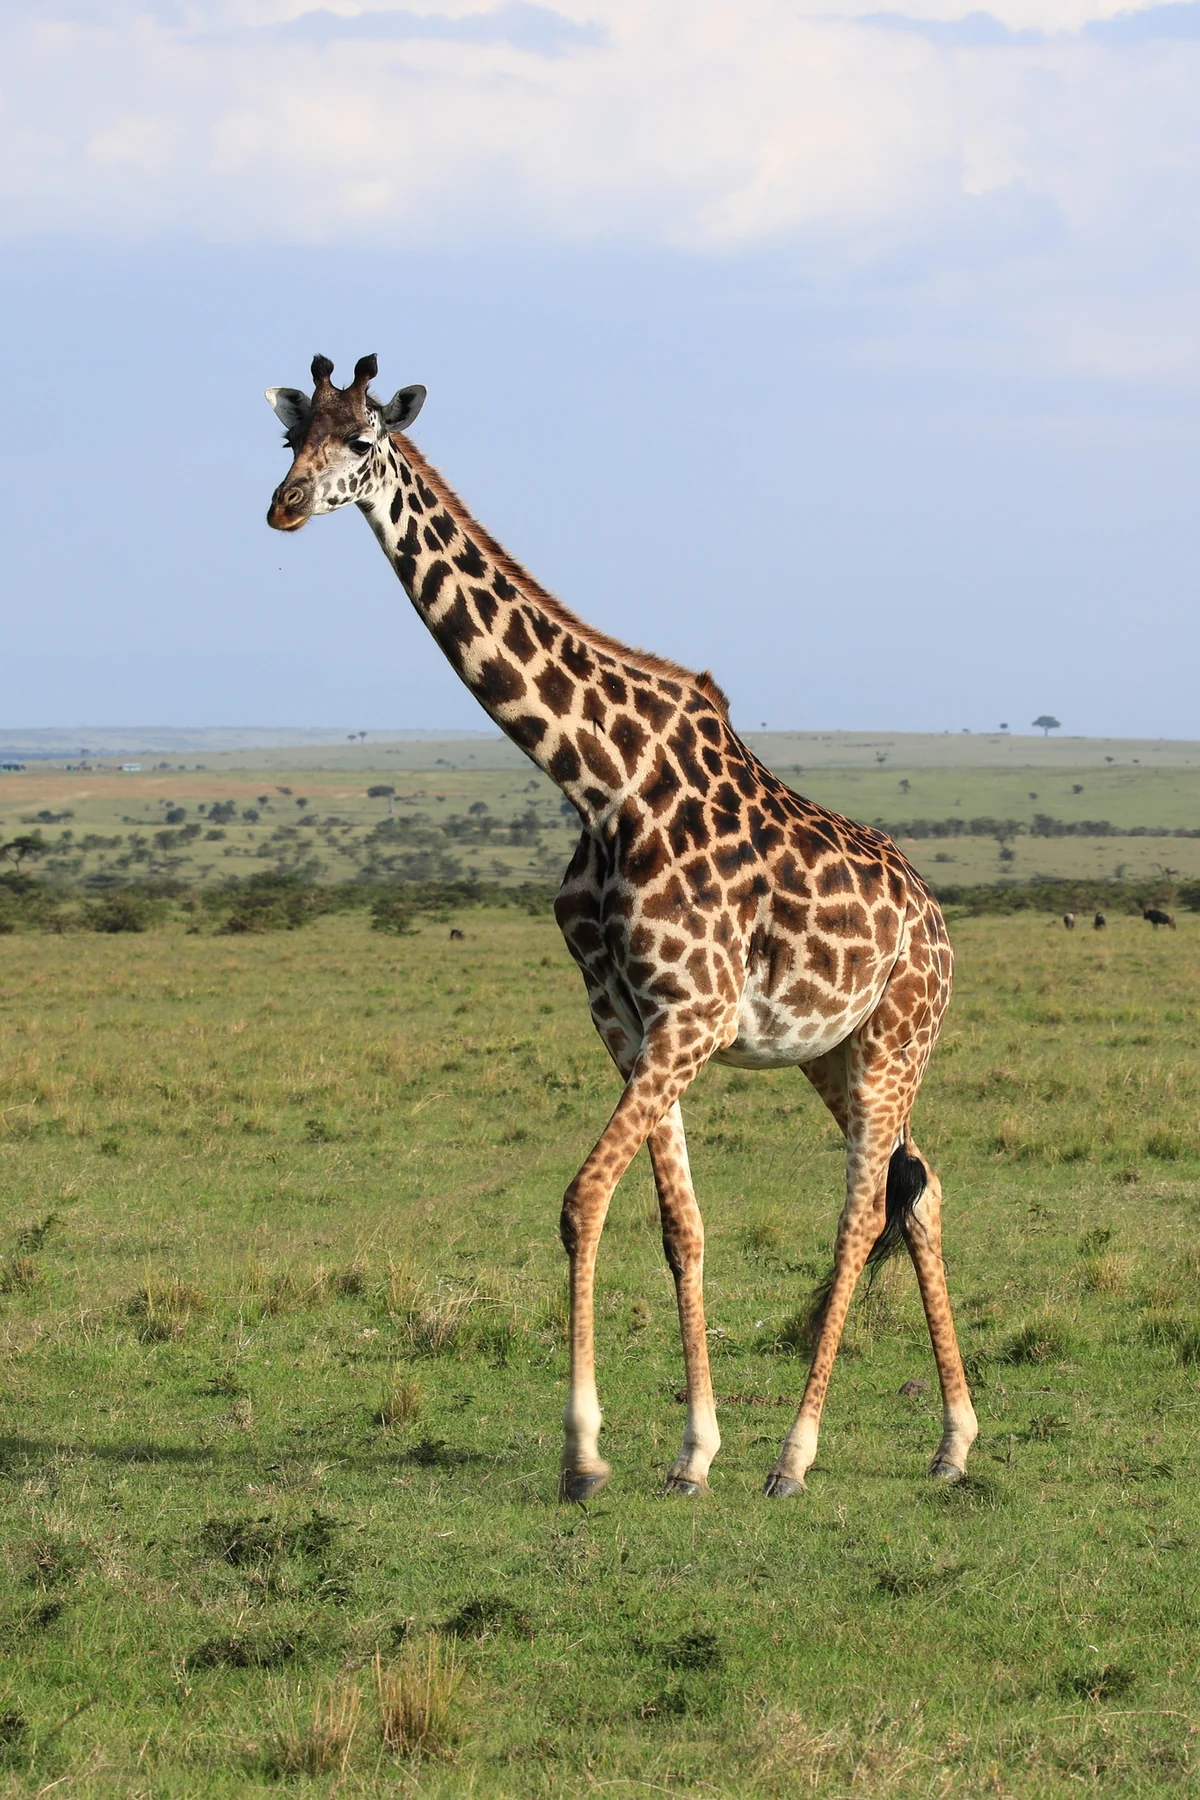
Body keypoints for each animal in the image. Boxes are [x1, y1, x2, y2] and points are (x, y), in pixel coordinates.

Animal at [265, 353, 978, 1500]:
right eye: (292, 440)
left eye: (363, 440)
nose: (284, 507)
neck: (598, 781)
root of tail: (938, 921)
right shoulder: (630, 1023)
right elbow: (678, 1225)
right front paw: (691, 1451)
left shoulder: (690, 1017)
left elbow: (581, 1200)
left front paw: (584, 1452)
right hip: (834, 1051)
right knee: (919, 1187)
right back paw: (954, 1440)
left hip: (900, 1037)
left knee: (865, 1207)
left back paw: (798, 1455)